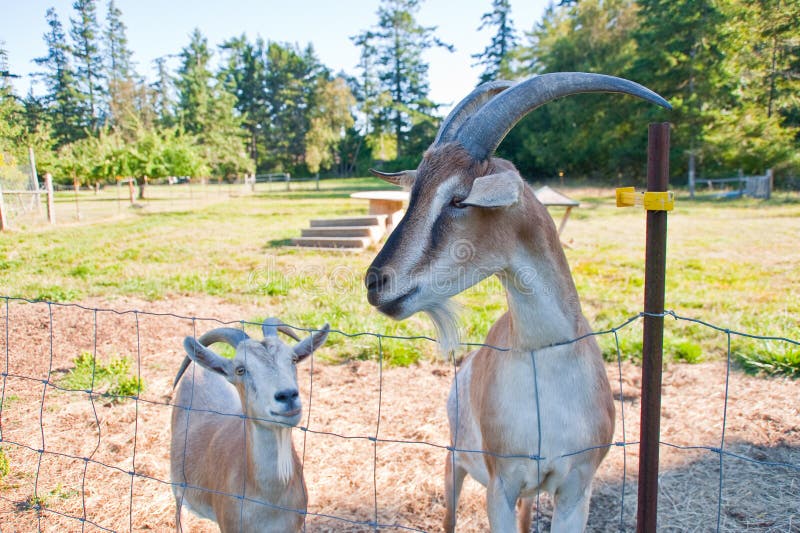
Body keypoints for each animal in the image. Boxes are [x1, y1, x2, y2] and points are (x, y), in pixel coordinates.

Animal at [365, 73, 670, 532]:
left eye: (459, 199)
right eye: (416, 192)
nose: (375, 282)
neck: (546, 358)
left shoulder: (575, 489)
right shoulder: (501, 485)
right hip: (455, 464)